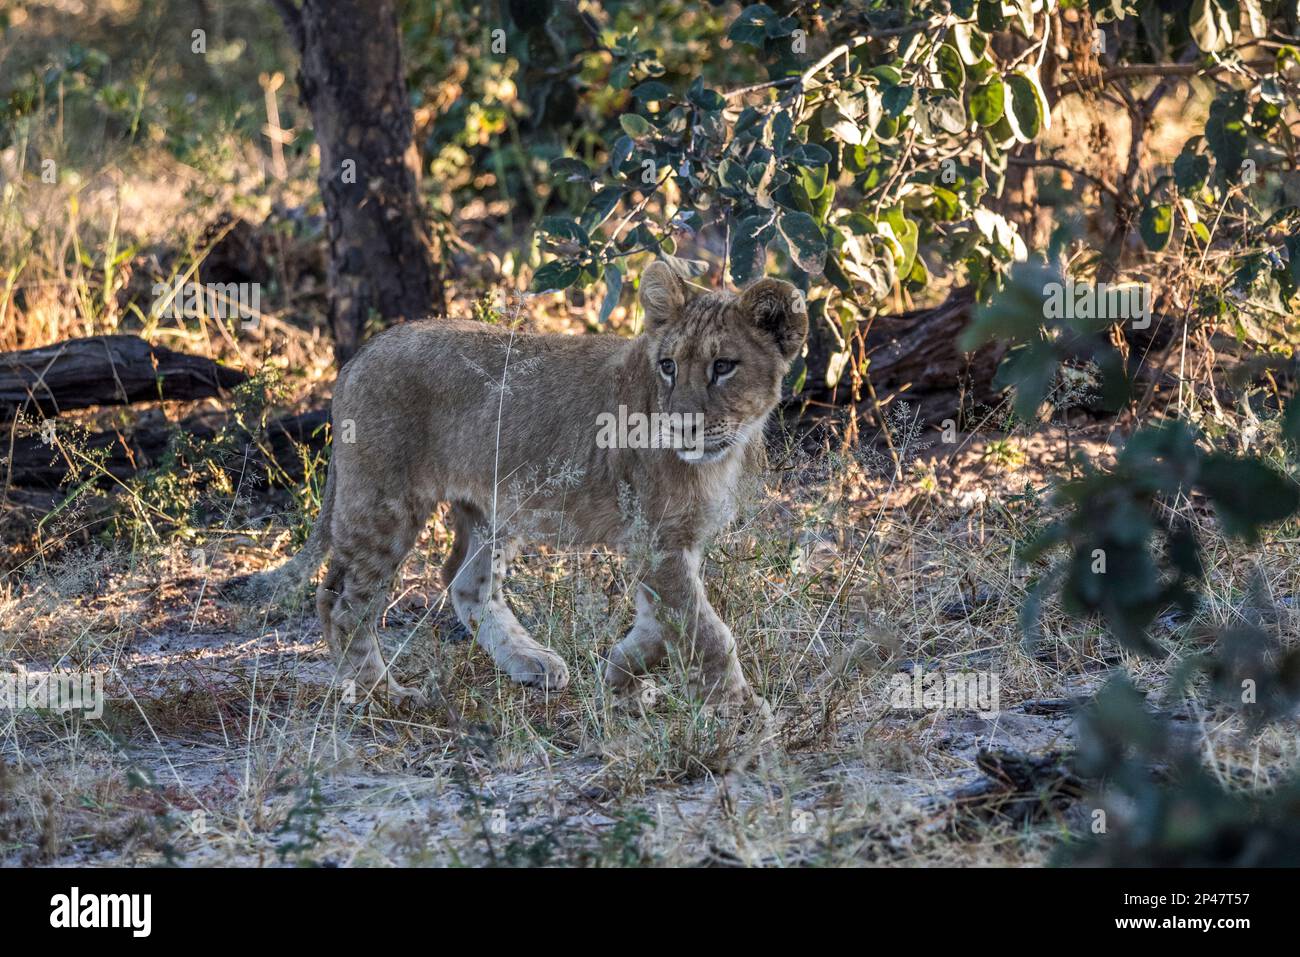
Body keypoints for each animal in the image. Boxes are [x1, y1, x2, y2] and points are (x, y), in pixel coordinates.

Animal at [236, 262, 807, 711]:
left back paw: (529, 661)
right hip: (385, 503)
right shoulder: (656, 540)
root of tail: (357, 357)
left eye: (723, 367)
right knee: (343, 602)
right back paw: (381, 695)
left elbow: (661, 622)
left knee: (462, 582)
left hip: (492, 506)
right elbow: (706, 631)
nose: (681, 426)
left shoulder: (663, 544)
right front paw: (744, 713)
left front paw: (621, 678)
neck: (721, 453)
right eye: (668, 366)